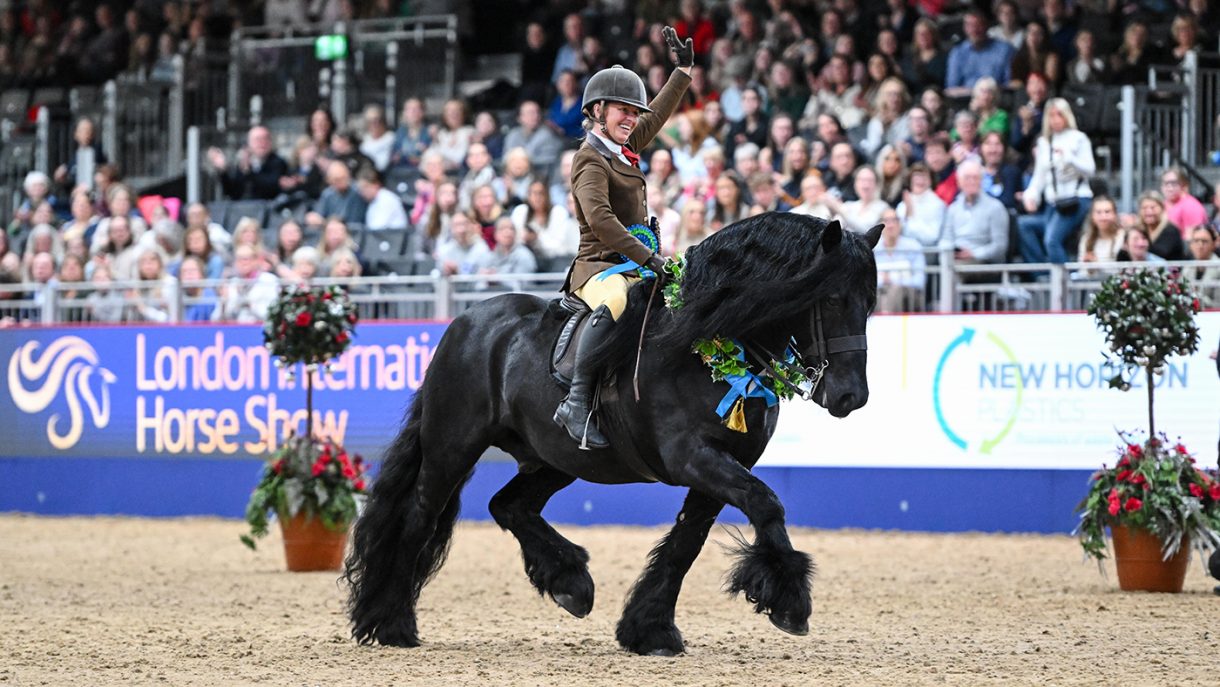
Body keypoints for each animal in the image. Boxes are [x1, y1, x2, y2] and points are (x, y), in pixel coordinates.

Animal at [343, 213, 882, 656]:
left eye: (870, 303)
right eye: (831, 298)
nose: (851, 397)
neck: (707, 342)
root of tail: (466, 321)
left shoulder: (724, 463)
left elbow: (687, 541)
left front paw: (651, 630)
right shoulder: (694, 456)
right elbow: (766, 504)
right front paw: (789, 602)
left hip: (556, 458)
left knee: (509, 505)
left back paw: (570, 582)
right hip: (452, 447)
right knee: (418, 518)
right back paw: (392, 624)